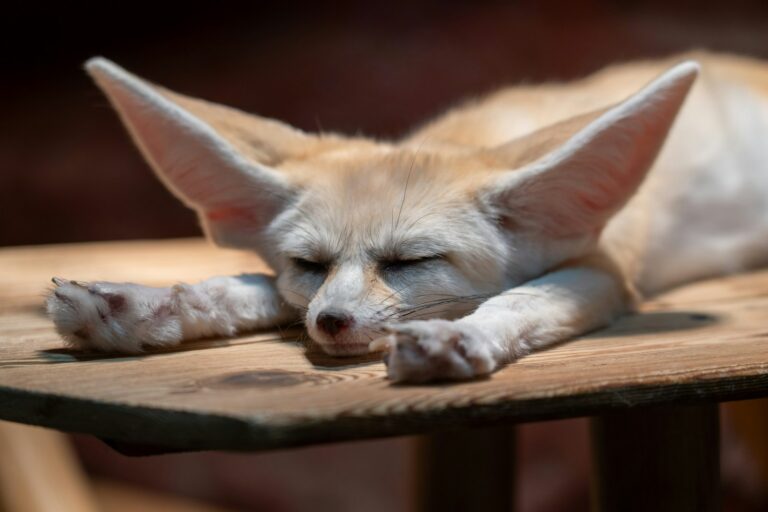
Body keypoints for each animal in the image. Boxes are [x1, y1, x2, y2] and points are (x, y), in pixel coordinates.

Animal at [46, 52, 768, 383]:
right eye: (308, 264)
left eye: (411, 261)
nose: (332, 323)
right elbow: (251, 287)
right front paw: (140, 306)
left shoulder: (607, 268)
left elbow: (522, 300)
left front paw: (460, 338)